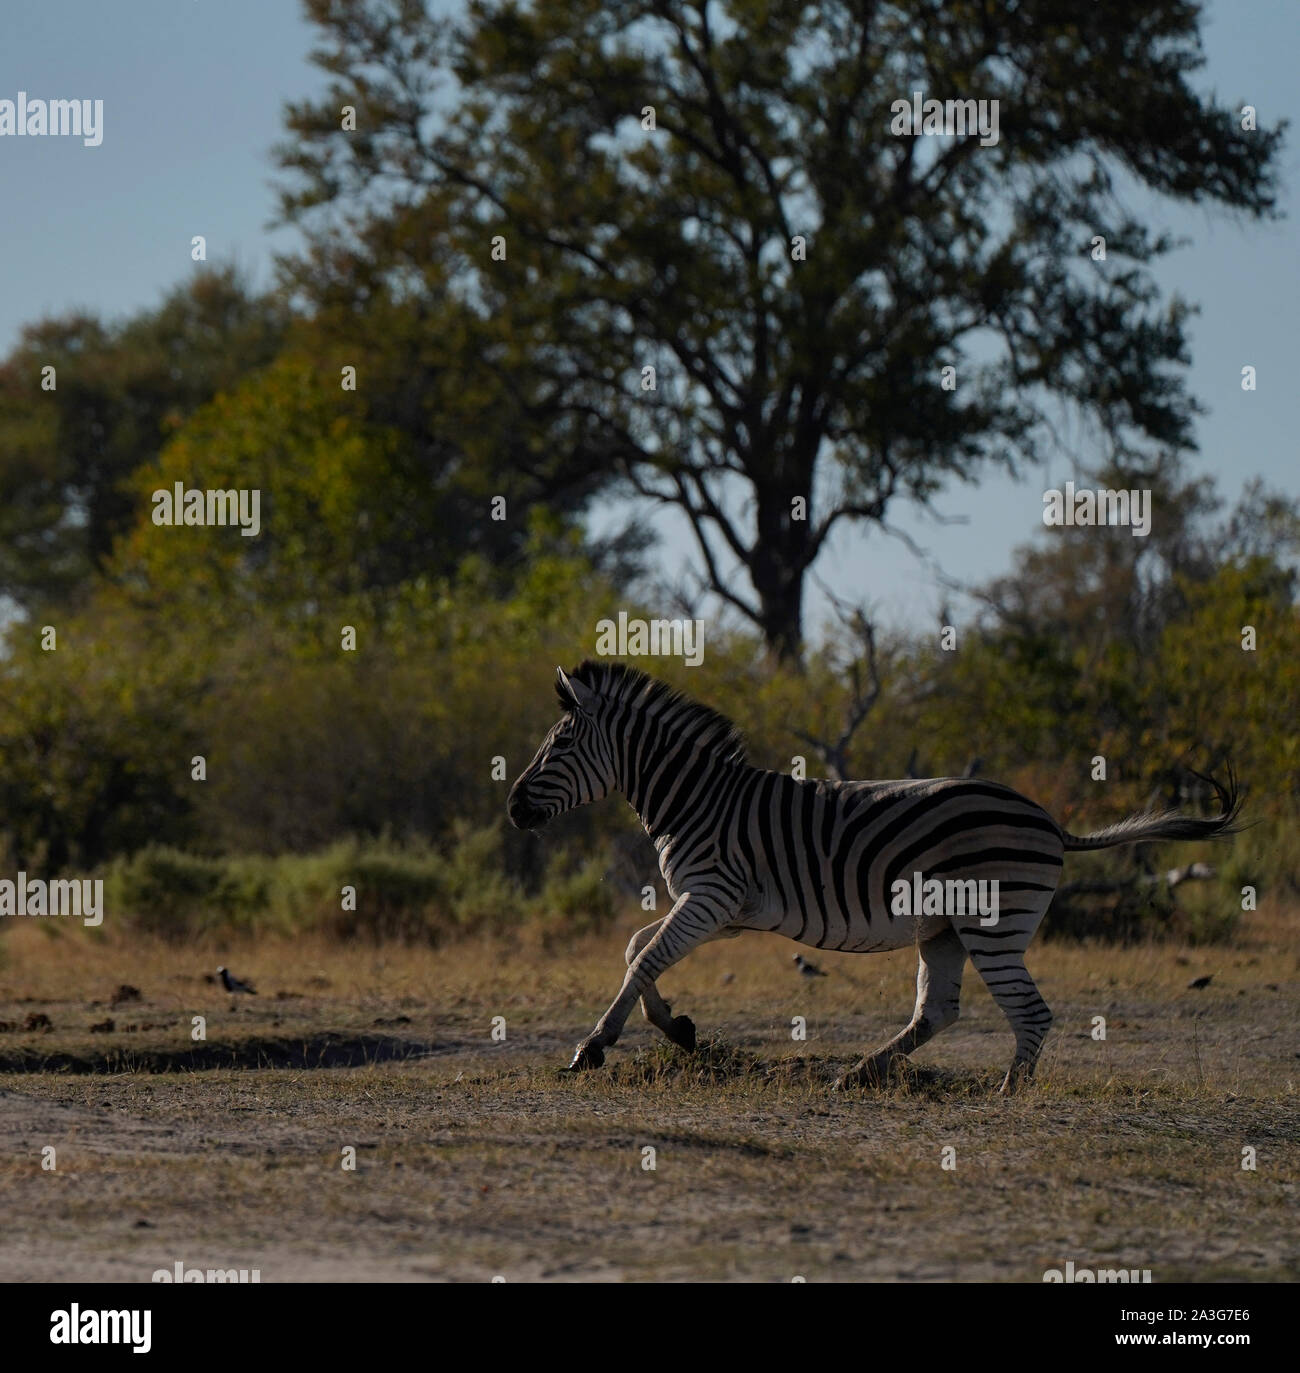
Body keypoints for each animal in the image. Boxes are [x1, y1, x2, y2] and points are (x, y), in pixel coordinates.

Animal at [507, 662, 1241, 1092]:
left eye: (561, 744)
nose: (512, 807)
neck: (697, 798)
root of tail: (1051, 821)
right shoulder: (724, 909)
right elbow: (639, 949)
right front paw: (678, 1028)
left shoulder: (713, 895)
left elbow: (644, 955)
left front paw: (593, 1047)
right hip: (945, 929)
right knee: (938, 1009)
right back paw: (862, 1072)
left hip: (991, 924)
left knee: (1030, 1013)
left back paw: (1008, 1095)